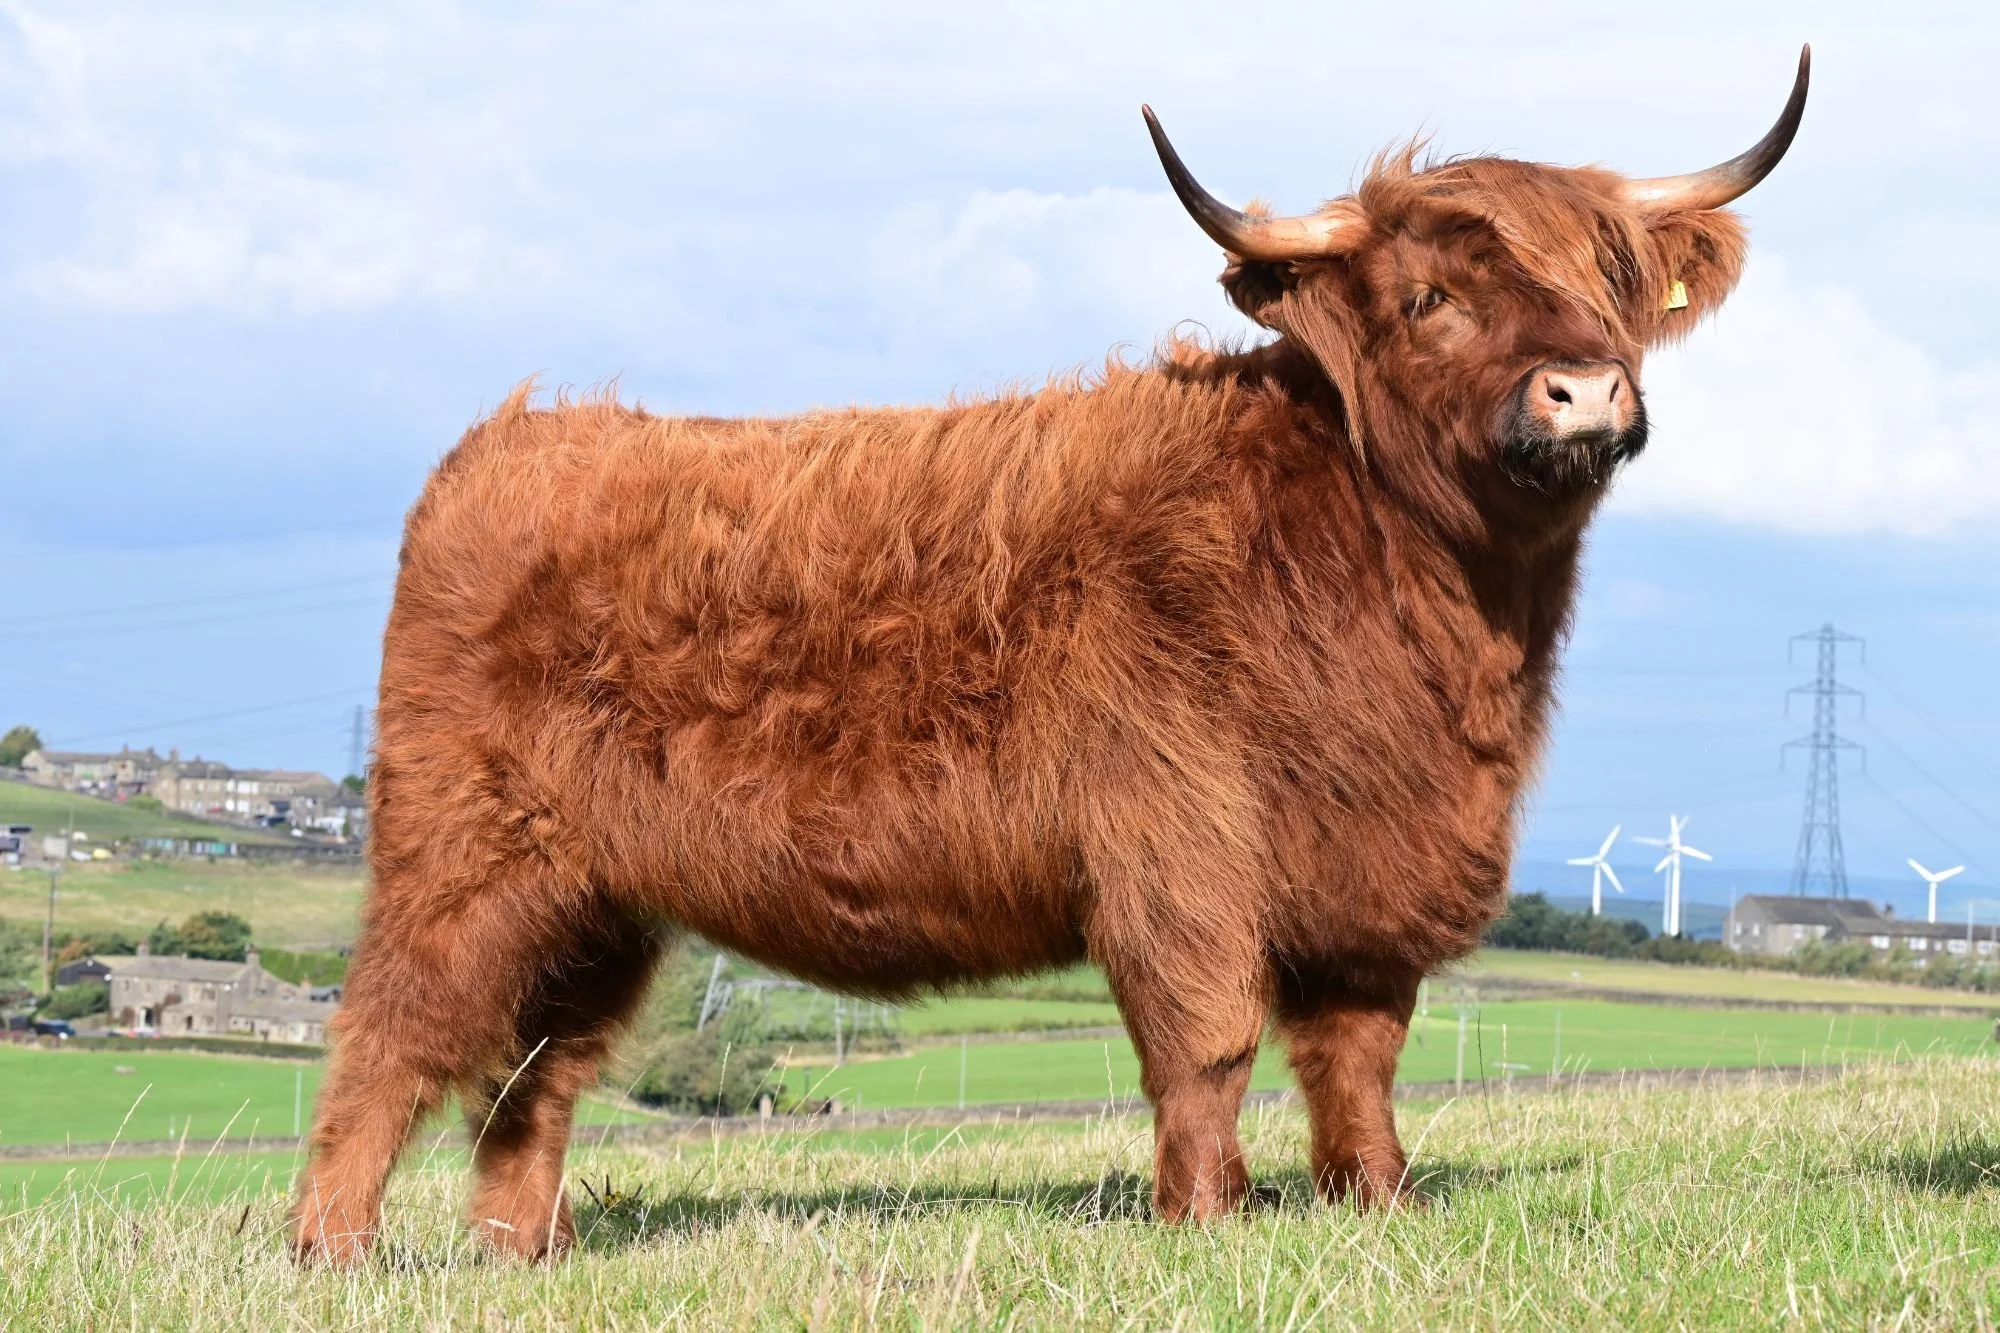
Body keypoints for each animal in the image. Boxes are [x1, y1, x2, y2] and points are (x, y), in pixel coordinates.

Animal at [294, 49, 1809, 1263]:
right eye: (1429, 293)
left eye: (1613, 285)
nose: (1586, 390)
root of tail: (517, 436)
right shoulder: (1178, 843)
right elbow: (1206, 1038)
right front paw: (1205, 1218)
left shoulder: (1379, 860)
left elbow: (1360, 1051)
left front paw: (1379, 1200)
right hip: (461, 849)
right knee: (390, 1034)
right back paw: (334, 1252)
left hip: (598, 899)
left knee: (537, 1072)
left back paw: (518, 1251)